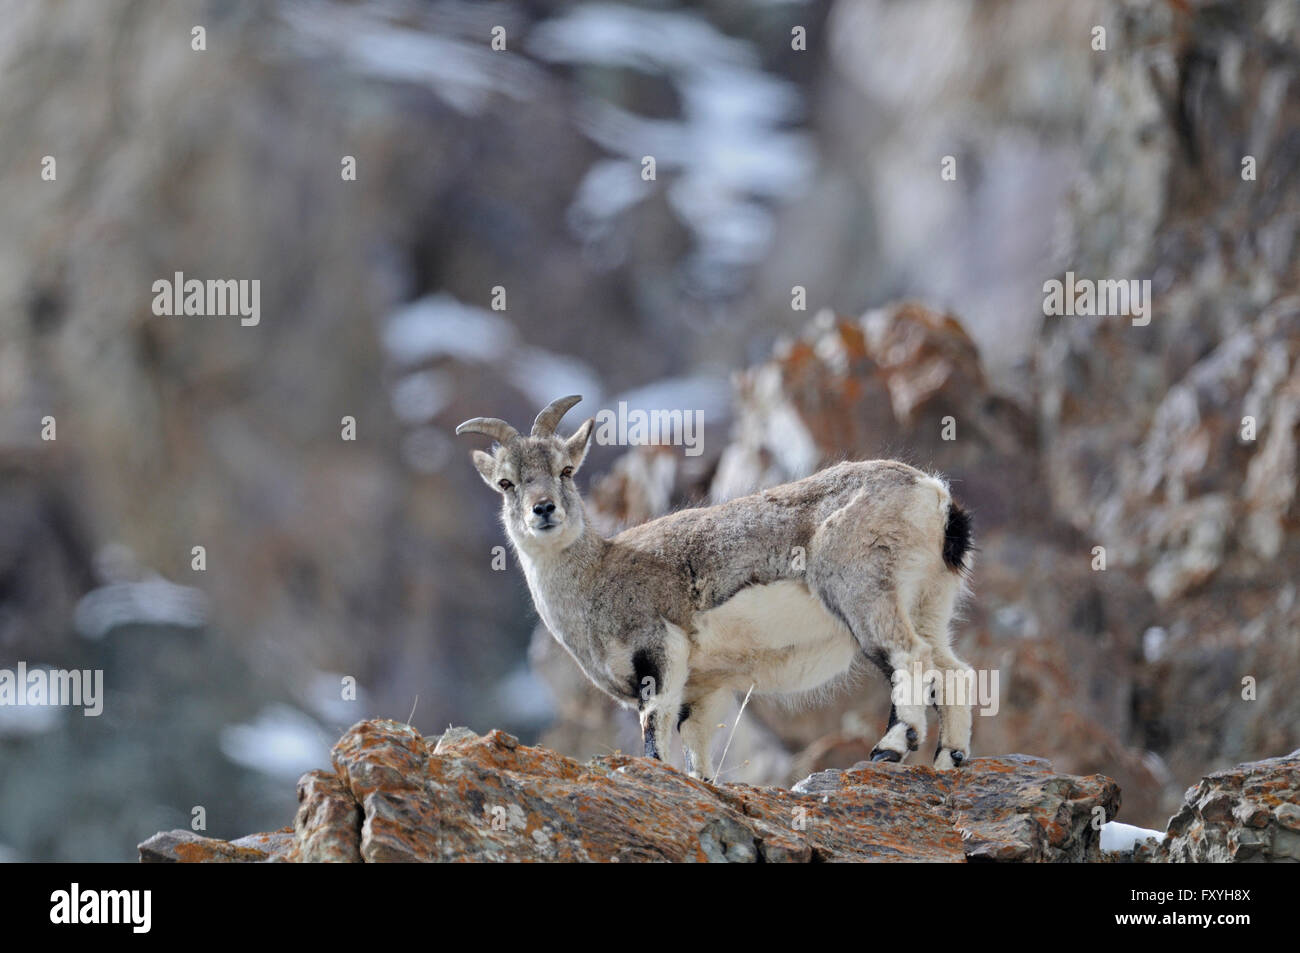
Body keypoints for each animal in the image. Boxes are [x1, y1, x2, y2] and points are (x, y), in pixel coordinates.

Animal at [457, 395, 975, 780]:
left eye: (566, 470)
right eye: (505, 483)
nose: (543, 509)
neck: (597, 575)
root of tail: (933, 494)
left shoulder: (658, 651)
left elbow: (654, 727)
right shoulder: (702, 689)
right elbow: (696, 747)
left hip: (863, 591)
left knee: (908, 654)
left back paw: (890, 748)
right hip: (929, 602)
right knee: (954, 670)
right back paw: (948, 761)